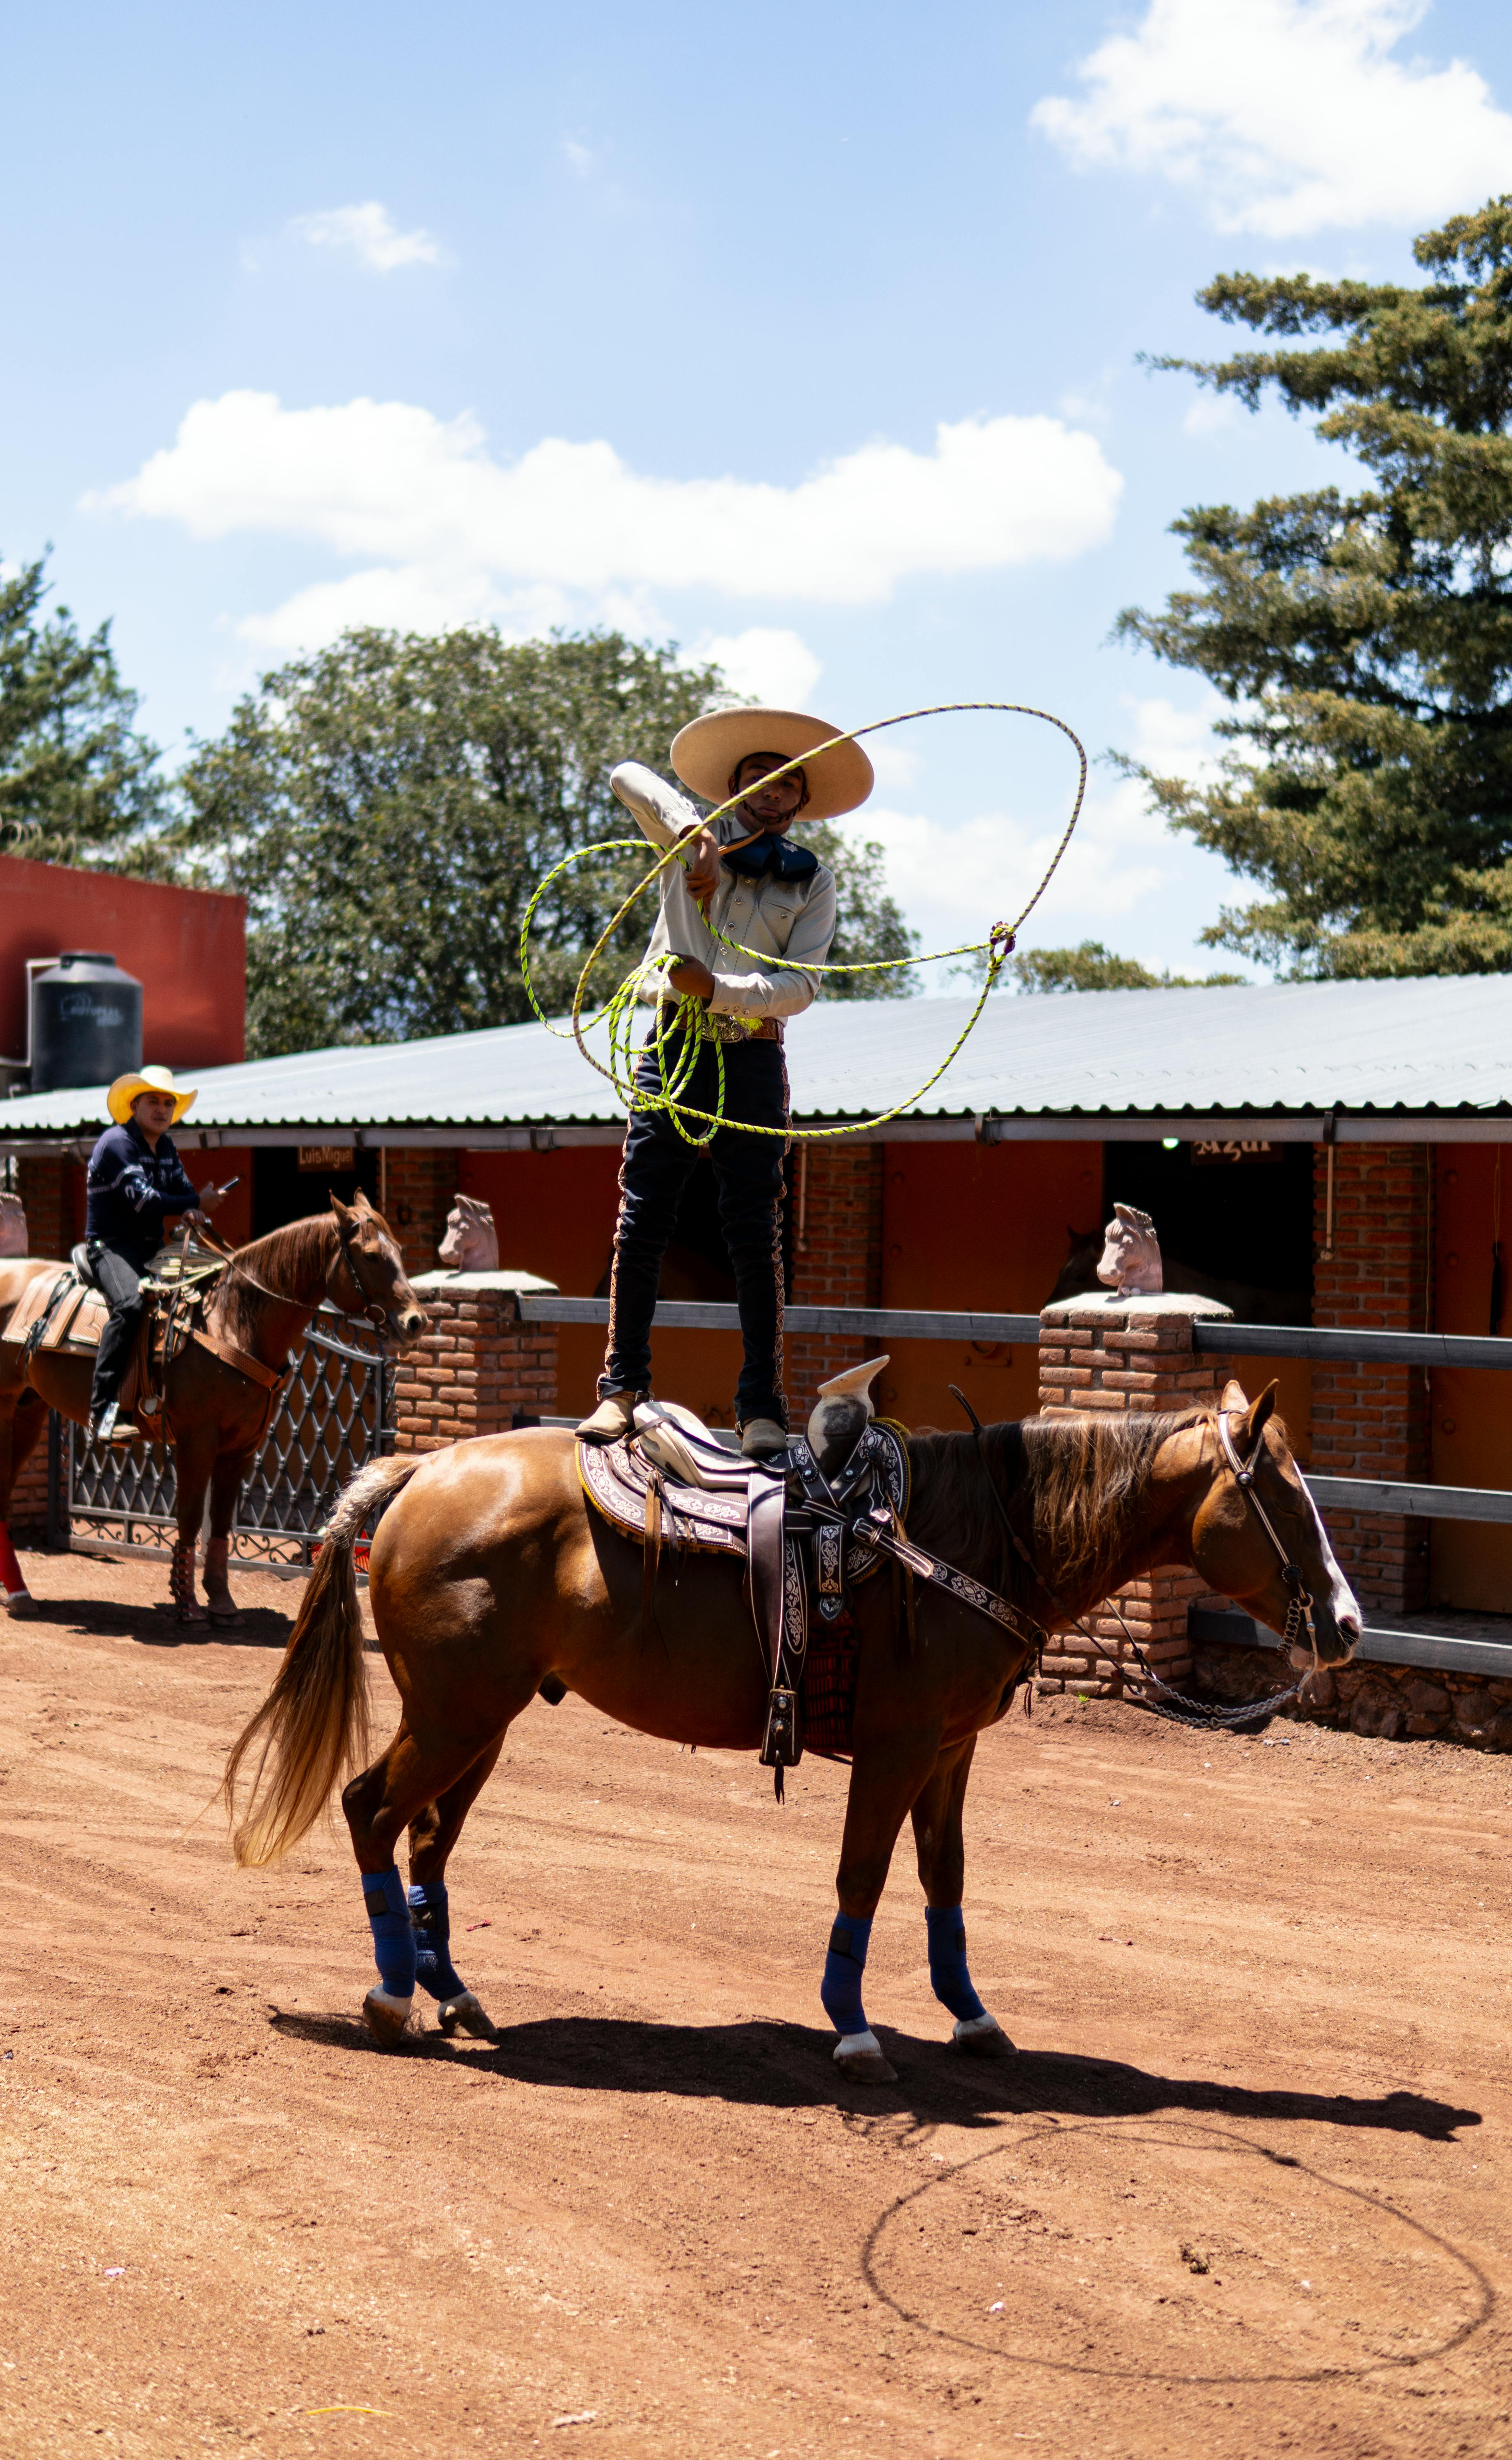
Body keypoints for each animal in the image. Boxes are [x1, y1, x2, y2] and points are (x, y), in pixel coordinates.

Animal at [0, 1193, 426, 1624]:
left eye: (399, 1249)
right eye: (371, 1255)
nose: (416, 1322)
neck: (229, 1323)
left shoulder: (241, 1448)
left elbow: (221, 1521)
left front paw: (221, 1601)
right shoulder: (197, 1441)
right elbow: (190, 1517)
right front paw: (186, 1602)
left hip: (28, 1412)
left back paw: (18, 1593)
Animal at [223, 1377, 1361, 2081]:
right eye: (1281, 1494)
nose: (1346, 1625)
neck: (965, 1539)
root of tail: (418, 1473)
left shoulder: (950, 1752)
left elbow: (942, 1880)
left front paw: (971, 2015)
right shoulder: (897, 1749)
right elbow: (862, 1877)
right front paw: (852, 2031)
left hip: (479, 1724)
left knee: (427, 1841)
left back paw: (453, 1996)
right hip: (454, 1717)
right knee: (371, 1811)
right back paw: (389, 1998)